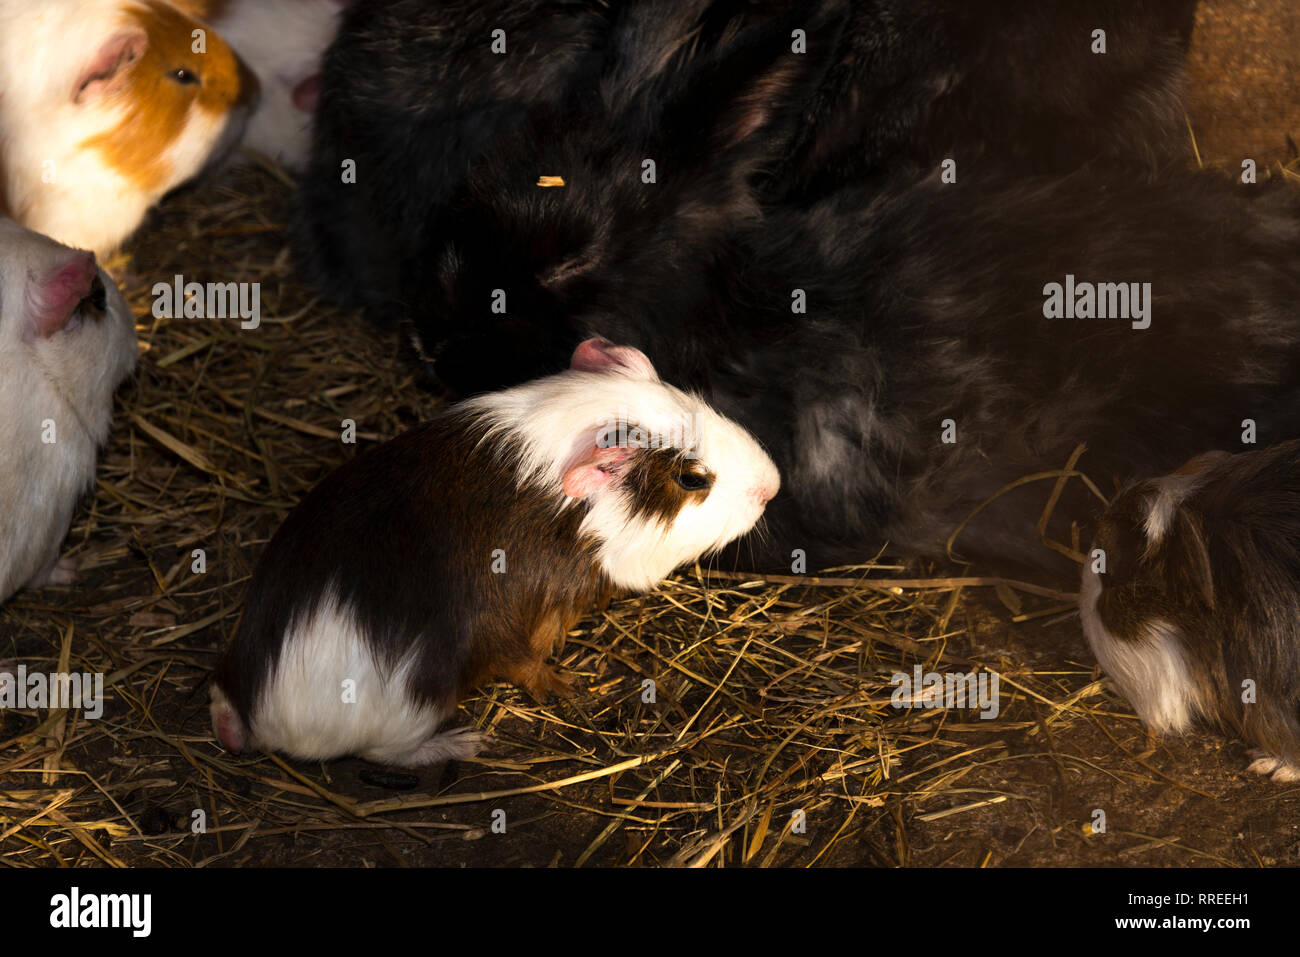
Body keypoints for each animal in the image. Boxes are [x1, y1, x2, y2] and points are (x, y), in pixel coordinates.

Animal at [209, 338, 779, 767]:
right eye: (692, 478)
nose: (772, 485)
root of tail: (251, 705)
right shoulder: (506, 630)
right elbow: (527, 663)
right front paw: (568, 689)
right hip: (415, 707)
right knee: (384, 754)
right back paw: (466, 742)